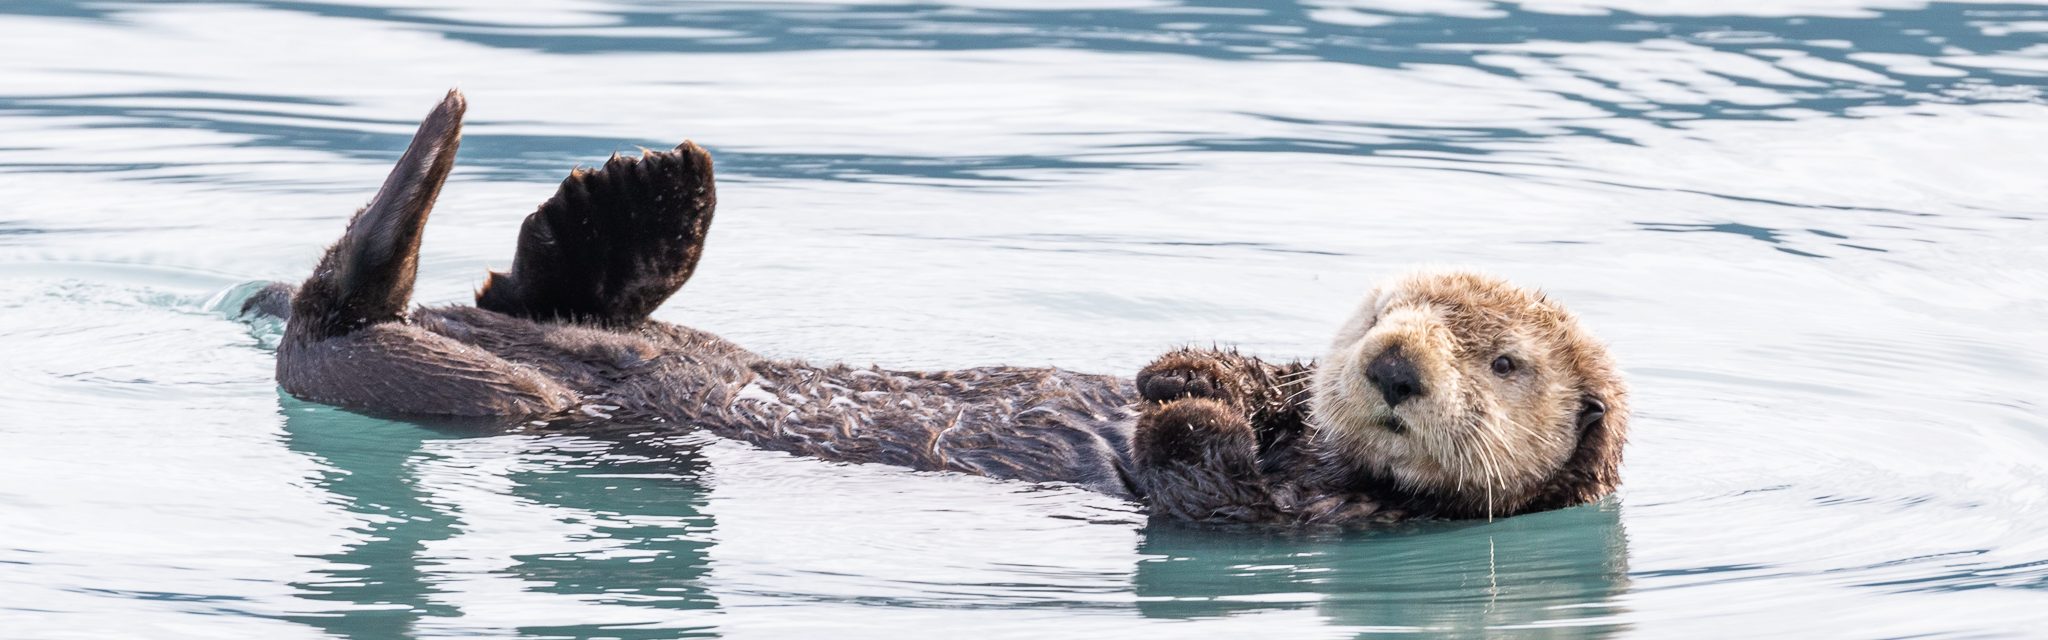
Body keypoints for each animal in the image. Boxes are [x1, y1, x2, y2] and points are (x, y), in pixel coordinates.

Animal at [245, 91, 1628, 526]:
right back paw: (637, 200)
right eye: (1373, 311)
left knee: (345, 324)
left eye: (1501, 362)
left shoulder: (1308, 521)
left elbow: (1196, 476)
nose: (1389, 364)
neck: (1325, 453)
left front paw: (1187, 404)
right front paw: (1193, 366)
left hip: (470, 390)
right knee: (521, 294)